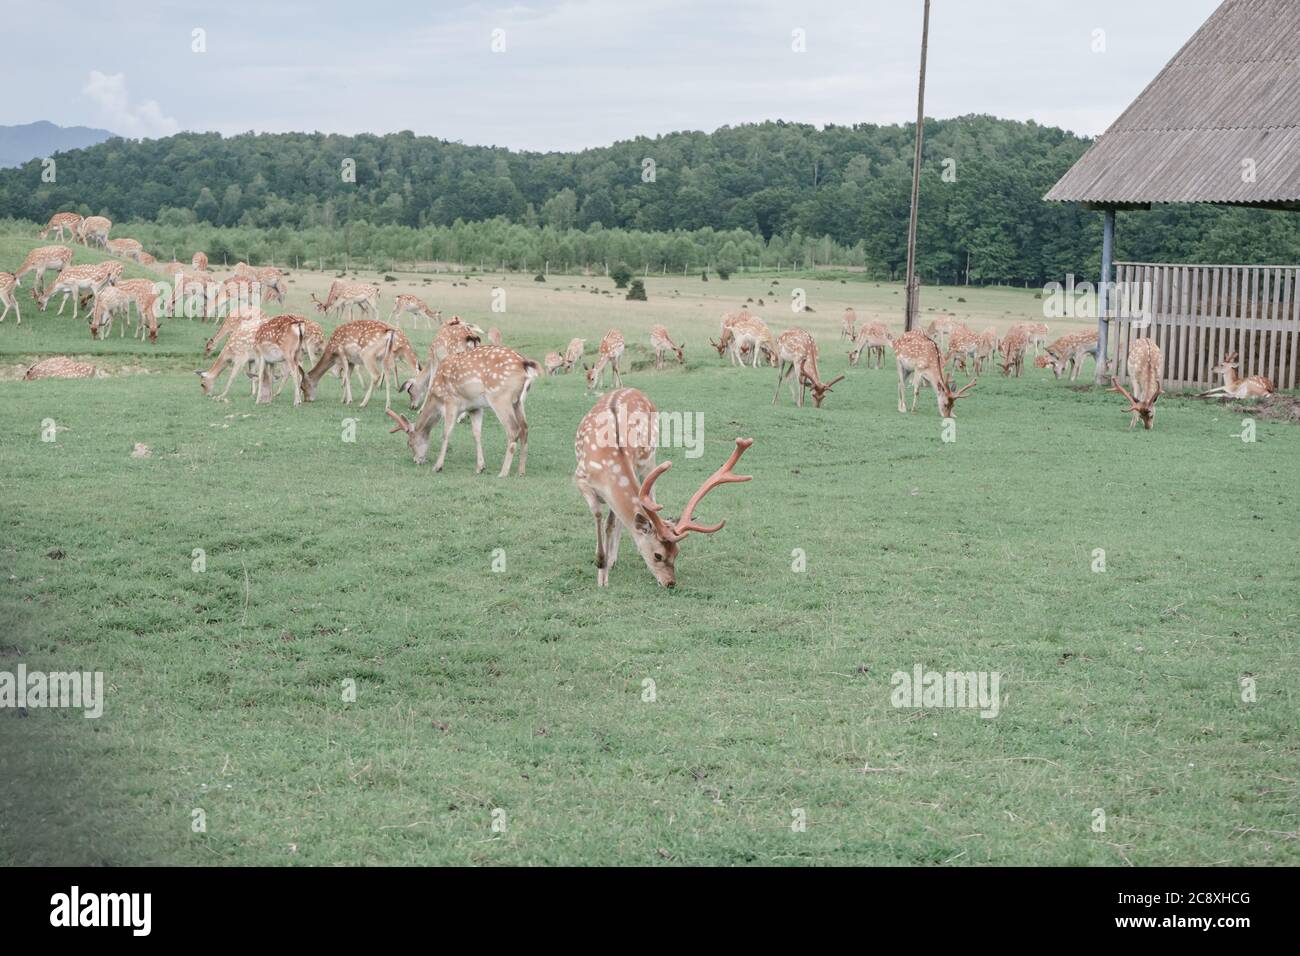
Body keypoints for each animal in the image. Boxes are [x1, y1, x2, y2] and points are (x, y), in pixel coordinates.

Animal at [385, 346, 539, 477]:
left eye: (409, 443)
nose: (417, 460)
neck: (437, 398)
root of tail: (525, 364)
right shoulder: (475, 407)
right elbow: (476, 434)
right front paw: (480, 467)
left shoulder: (451, 402)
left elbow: (446, 433)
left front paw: (438, 466)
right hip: (518, 402)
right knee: (525, 429)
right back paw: (521, 471)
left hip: (500, 398)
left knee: (514, 429)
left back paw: (503, 473)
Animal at [574, 387, 754, 588]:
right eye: (658, 555)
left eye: (677, 552)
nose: (670, 583)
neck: (607, 467)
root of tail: (633, 389)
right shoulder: (579, 477)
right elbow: (599, 514)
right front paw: (601, 565)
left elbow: (611, 522)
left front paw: (606, 569)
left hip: (649, 461)